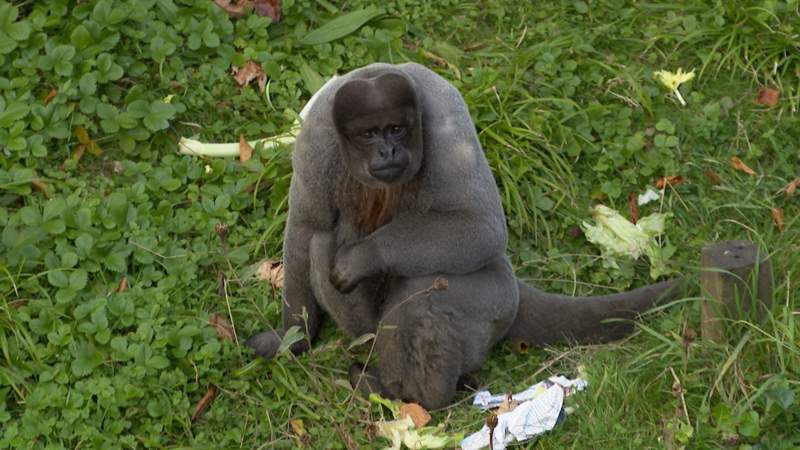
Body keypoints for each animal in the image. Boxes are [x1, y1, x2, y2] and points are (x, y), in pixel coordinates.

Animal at [246, 63, 682, 410]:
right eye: (369, 134)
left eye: (396, 129)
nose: (388, 151)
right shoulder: (315, 141)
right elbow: (307, 228)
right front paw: (293, 338)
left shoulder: (445, 120)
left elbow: (481, 227)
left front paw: (365, 256)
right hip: (366, 325)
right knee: (324, 243)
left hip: (497, 303)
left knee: (426, 293)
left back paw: (412, 396)